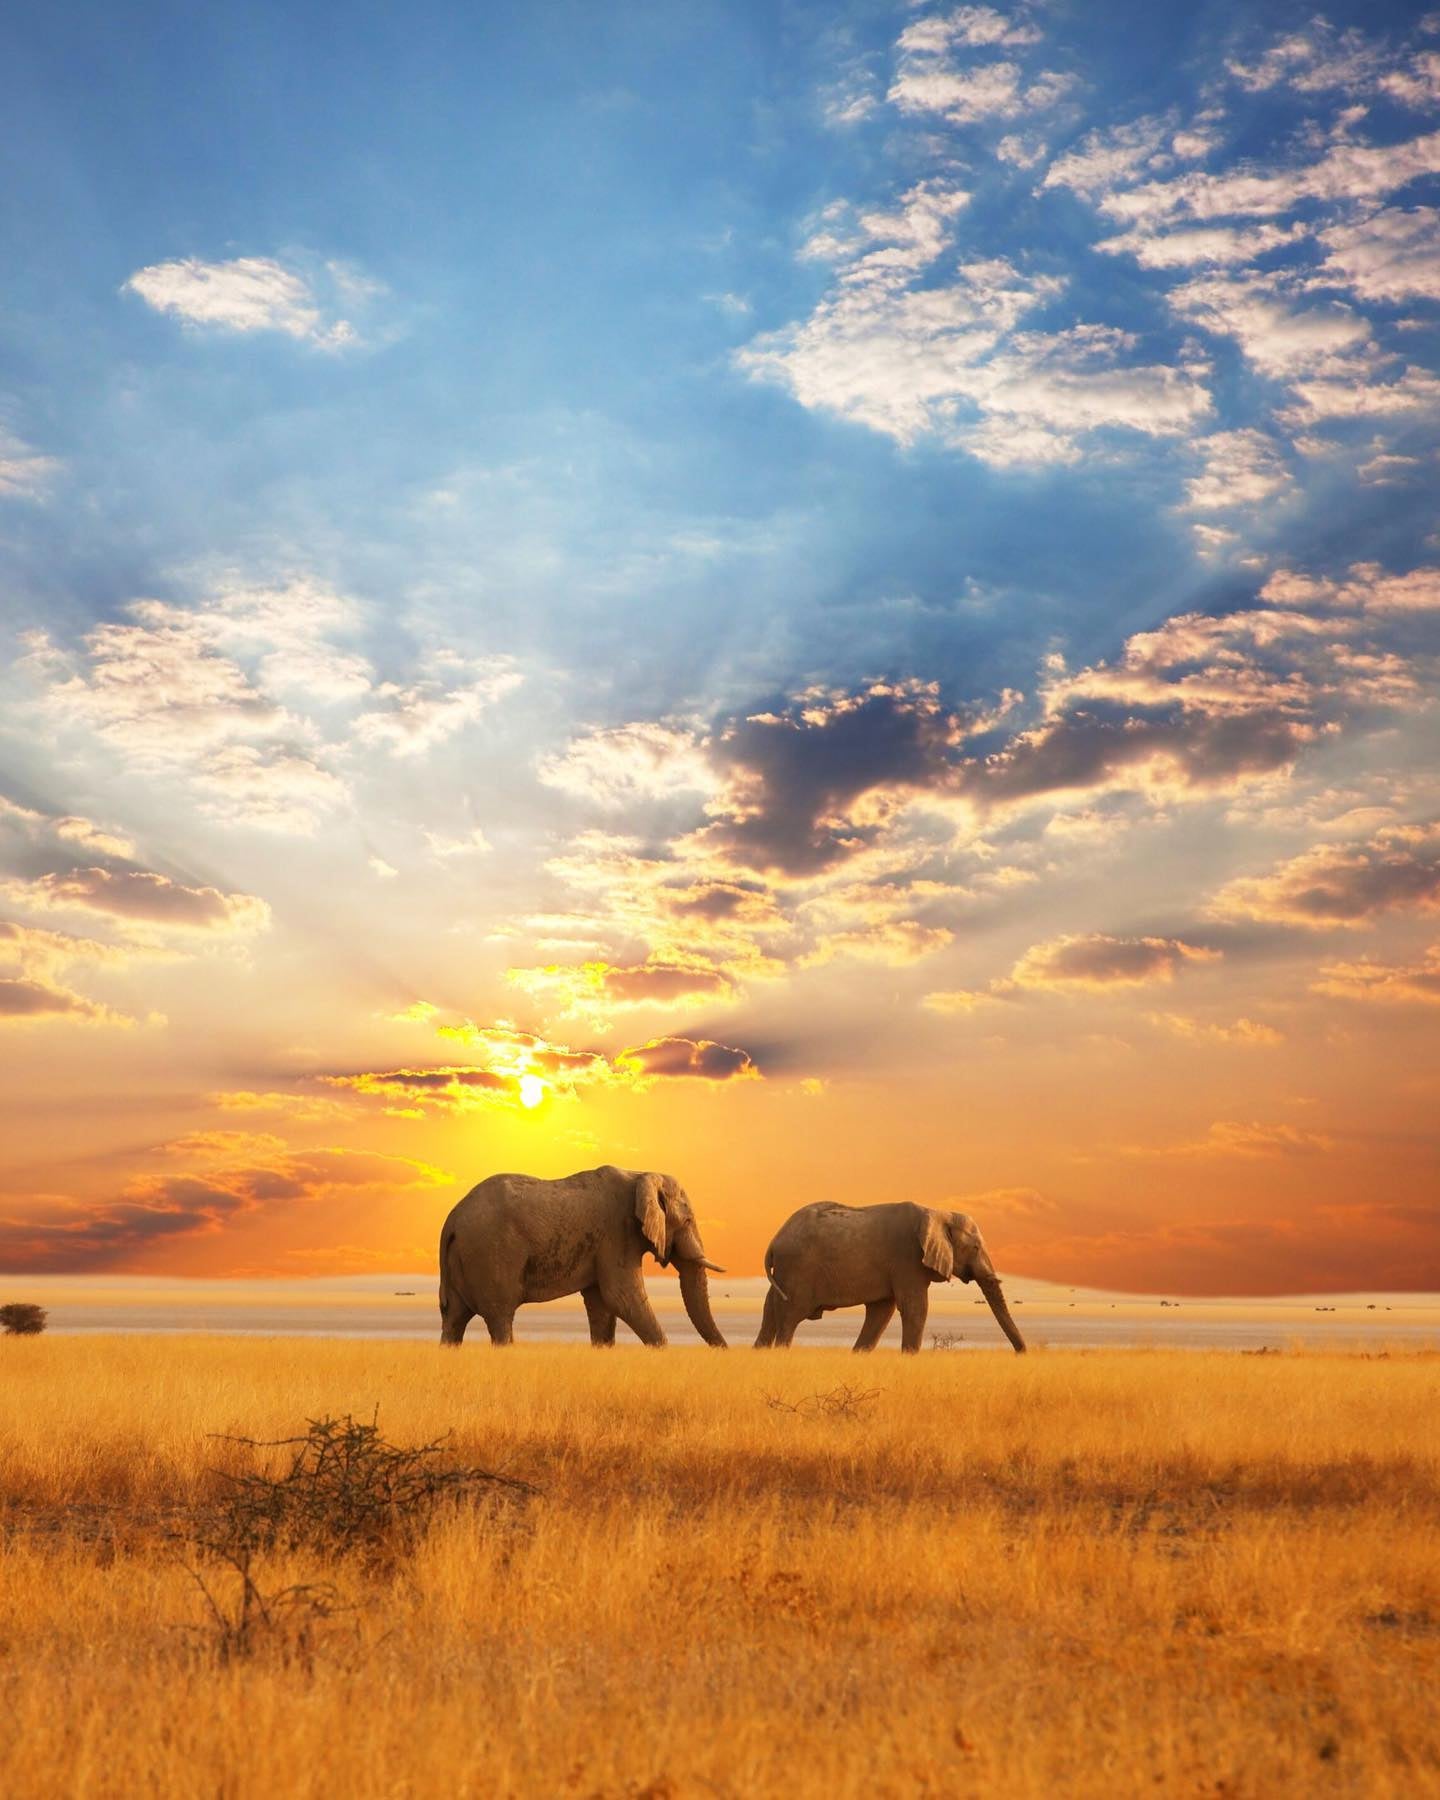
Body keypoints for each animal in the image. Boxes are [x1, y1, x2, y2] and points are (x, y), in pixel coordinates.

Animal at [438, 1164, 727, 1348]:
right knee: (500, 1316)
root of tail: (452, 1219)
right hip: (491, 1254)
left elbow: (602, 1304)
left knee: (454, 1317)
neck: (641, 1174)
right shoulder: (617, 1234)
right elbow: (622, 1296)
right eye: (687, 1220)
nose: (724, 1351)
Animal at [754, 1201, 1026, 1355]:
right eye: (976, 1248)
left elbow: (882, 1311)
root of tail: (774, 1241)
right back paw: (780, 1353)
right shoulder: (907, 1259)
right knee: (790, 1317)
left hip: (785, 1272)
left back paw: (759, 1352)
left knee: (770, 1310)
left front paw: (859, 1356)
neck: (938, 1213)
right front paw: (910, 1358)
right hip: (798, 1270)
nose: (1021, 1353)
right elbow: (915, 1307)